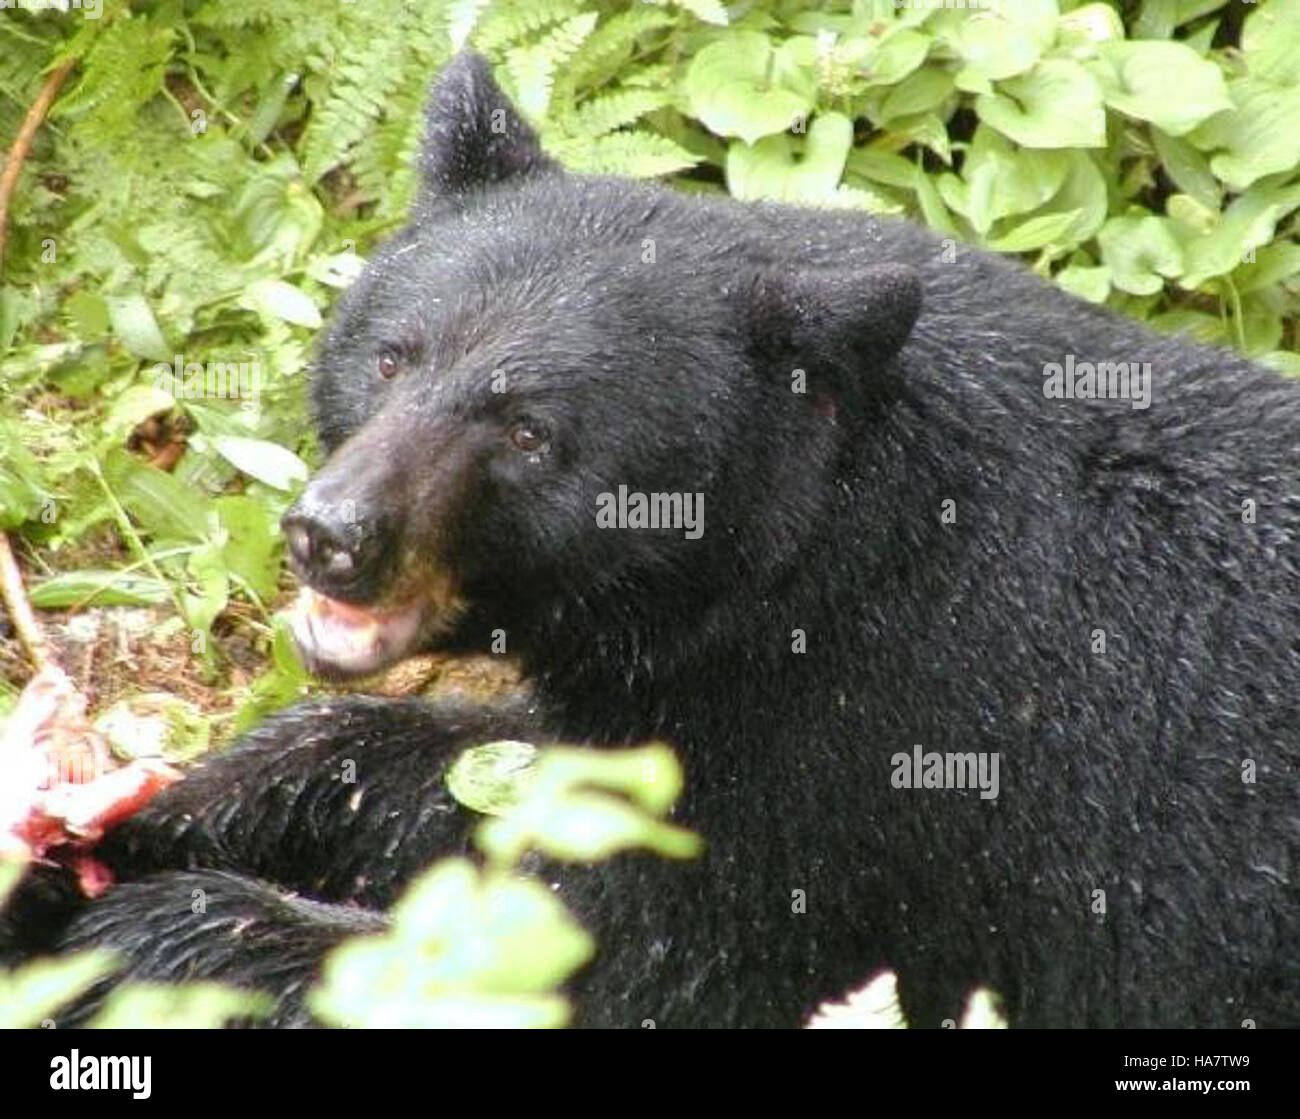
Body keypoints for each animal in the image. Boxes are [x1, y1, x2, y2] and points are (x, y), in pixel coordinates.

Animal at [6, 50, 1298, 1029]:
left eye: (530, 432)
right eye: (390, 357)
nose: (332, 536)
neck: (810, 556)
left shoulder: (865, 761)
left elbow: (621, 967)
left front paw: (120, 929)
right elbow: (471, 769)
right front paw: (142, 815)